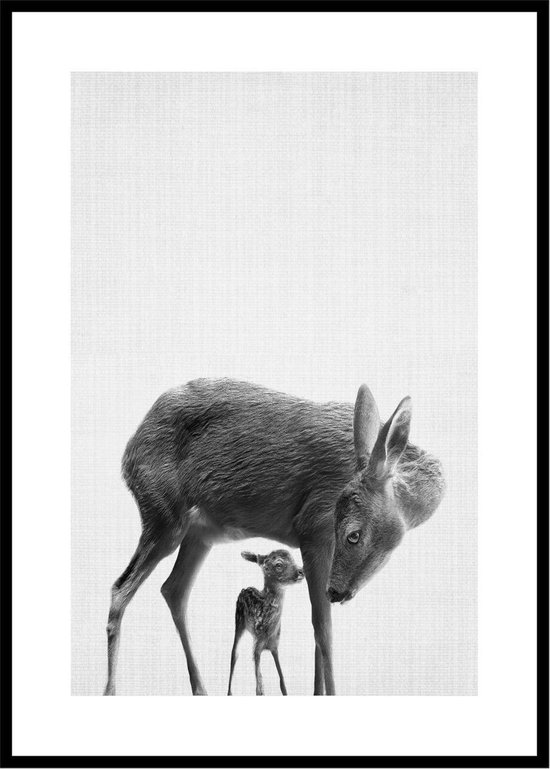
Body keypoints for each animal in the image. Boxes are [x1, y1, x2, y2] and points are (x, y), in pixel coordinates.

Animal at [227, 549, 304, 696]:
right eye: (278, 564)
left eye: (293, 558)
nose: (301, 571)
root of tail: (244, 589)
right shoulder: (256, 646)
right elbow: (258, 690)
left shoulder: (275, 646)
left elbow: (282, 684)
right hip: (239, 623)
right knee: (234, 654)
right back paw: (229, 692)